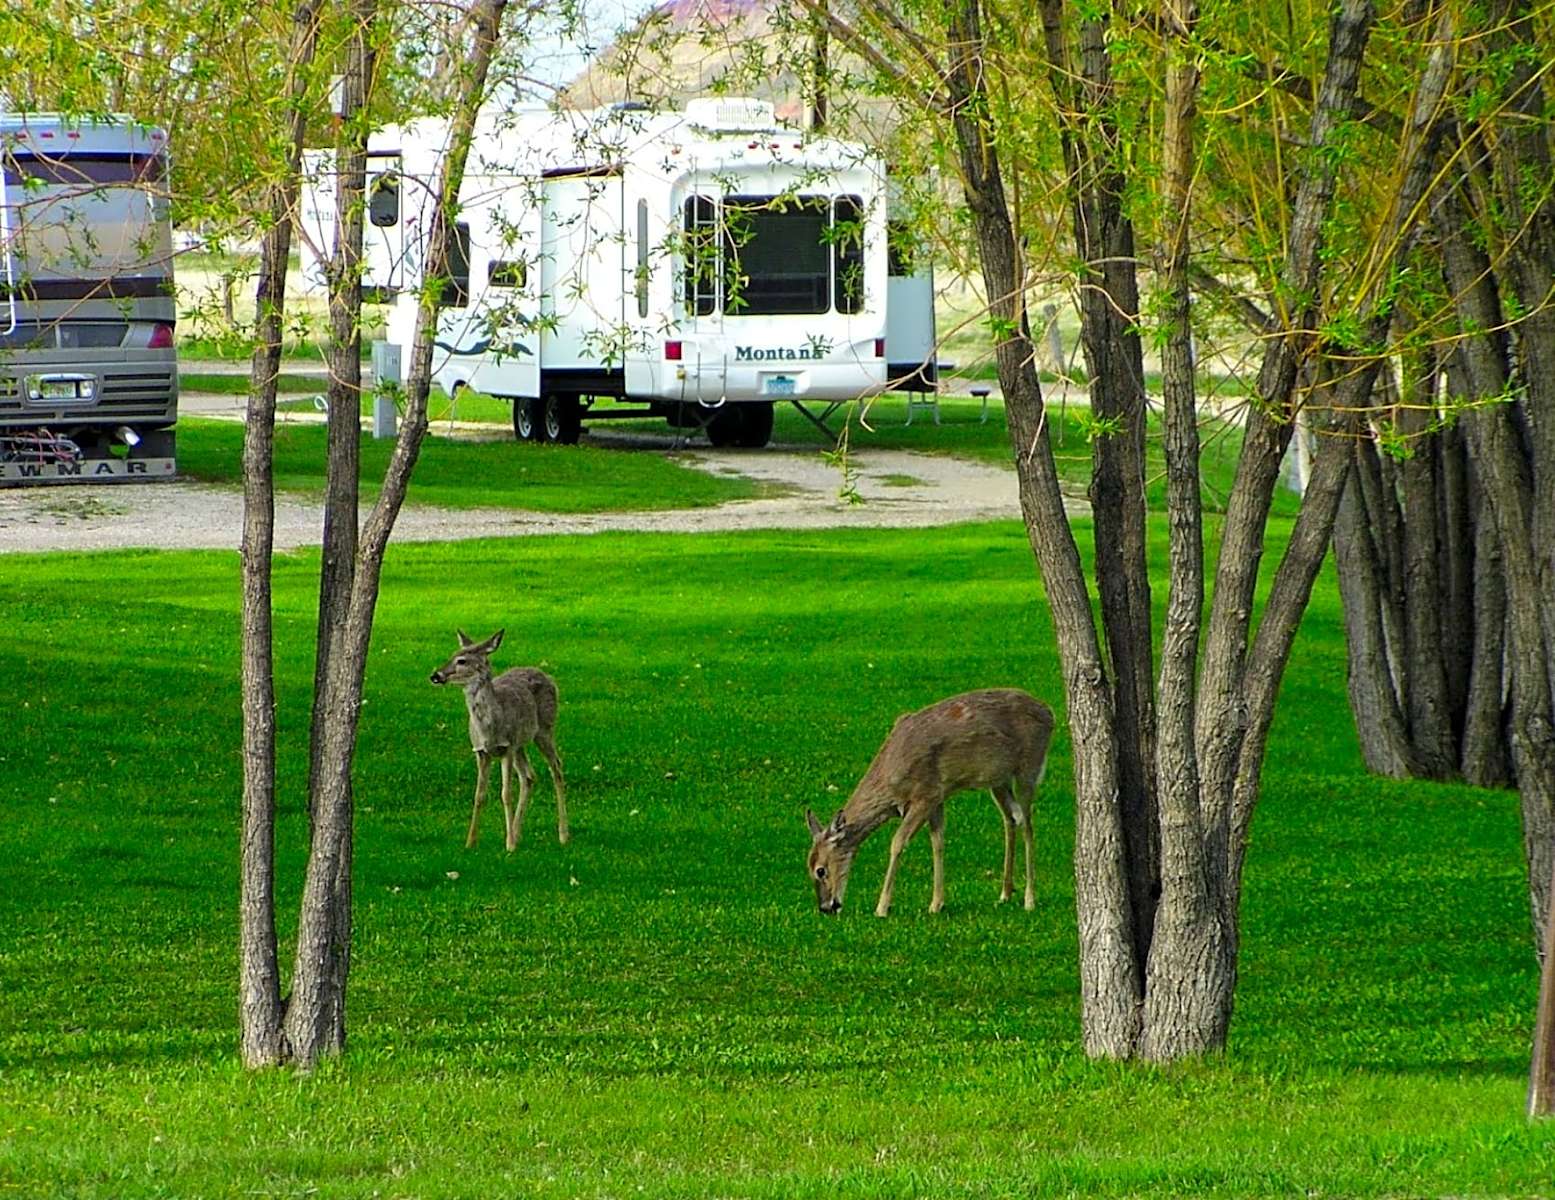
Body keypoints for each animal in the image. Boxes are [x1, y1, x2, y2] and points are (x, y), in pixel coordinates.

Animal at [429, 629, 568, 852]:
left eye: (462, 660)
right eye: (452, 655)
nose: (435, 675)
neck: (490, 729)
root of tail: (546, 675)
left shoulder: (506, 748)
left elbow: (506, 794)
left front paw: (509, 846)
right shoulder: (481, 751)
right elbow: (479, 795)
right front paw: (470, 842)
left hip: (544, 729)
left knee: (556, 768)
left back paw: (562, 835)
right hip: (521, 743)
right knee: (529, 776)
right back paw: (517, 833)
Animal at [805, 688, 1054, 917]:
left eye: (820, 870)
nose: (826, 907)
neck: (891, 779)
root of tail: (1050, 714)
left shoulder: (925, 795)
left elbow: (897, 842)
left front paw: (882, 908)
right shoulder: (937, 797)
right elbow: (938, 843)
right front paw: (936, 904)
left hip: (1029, 769)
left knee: (1028, 825)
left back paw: (1029, 899)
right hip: (998, 780)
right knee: (1011, 819)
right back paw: (1005, 893)